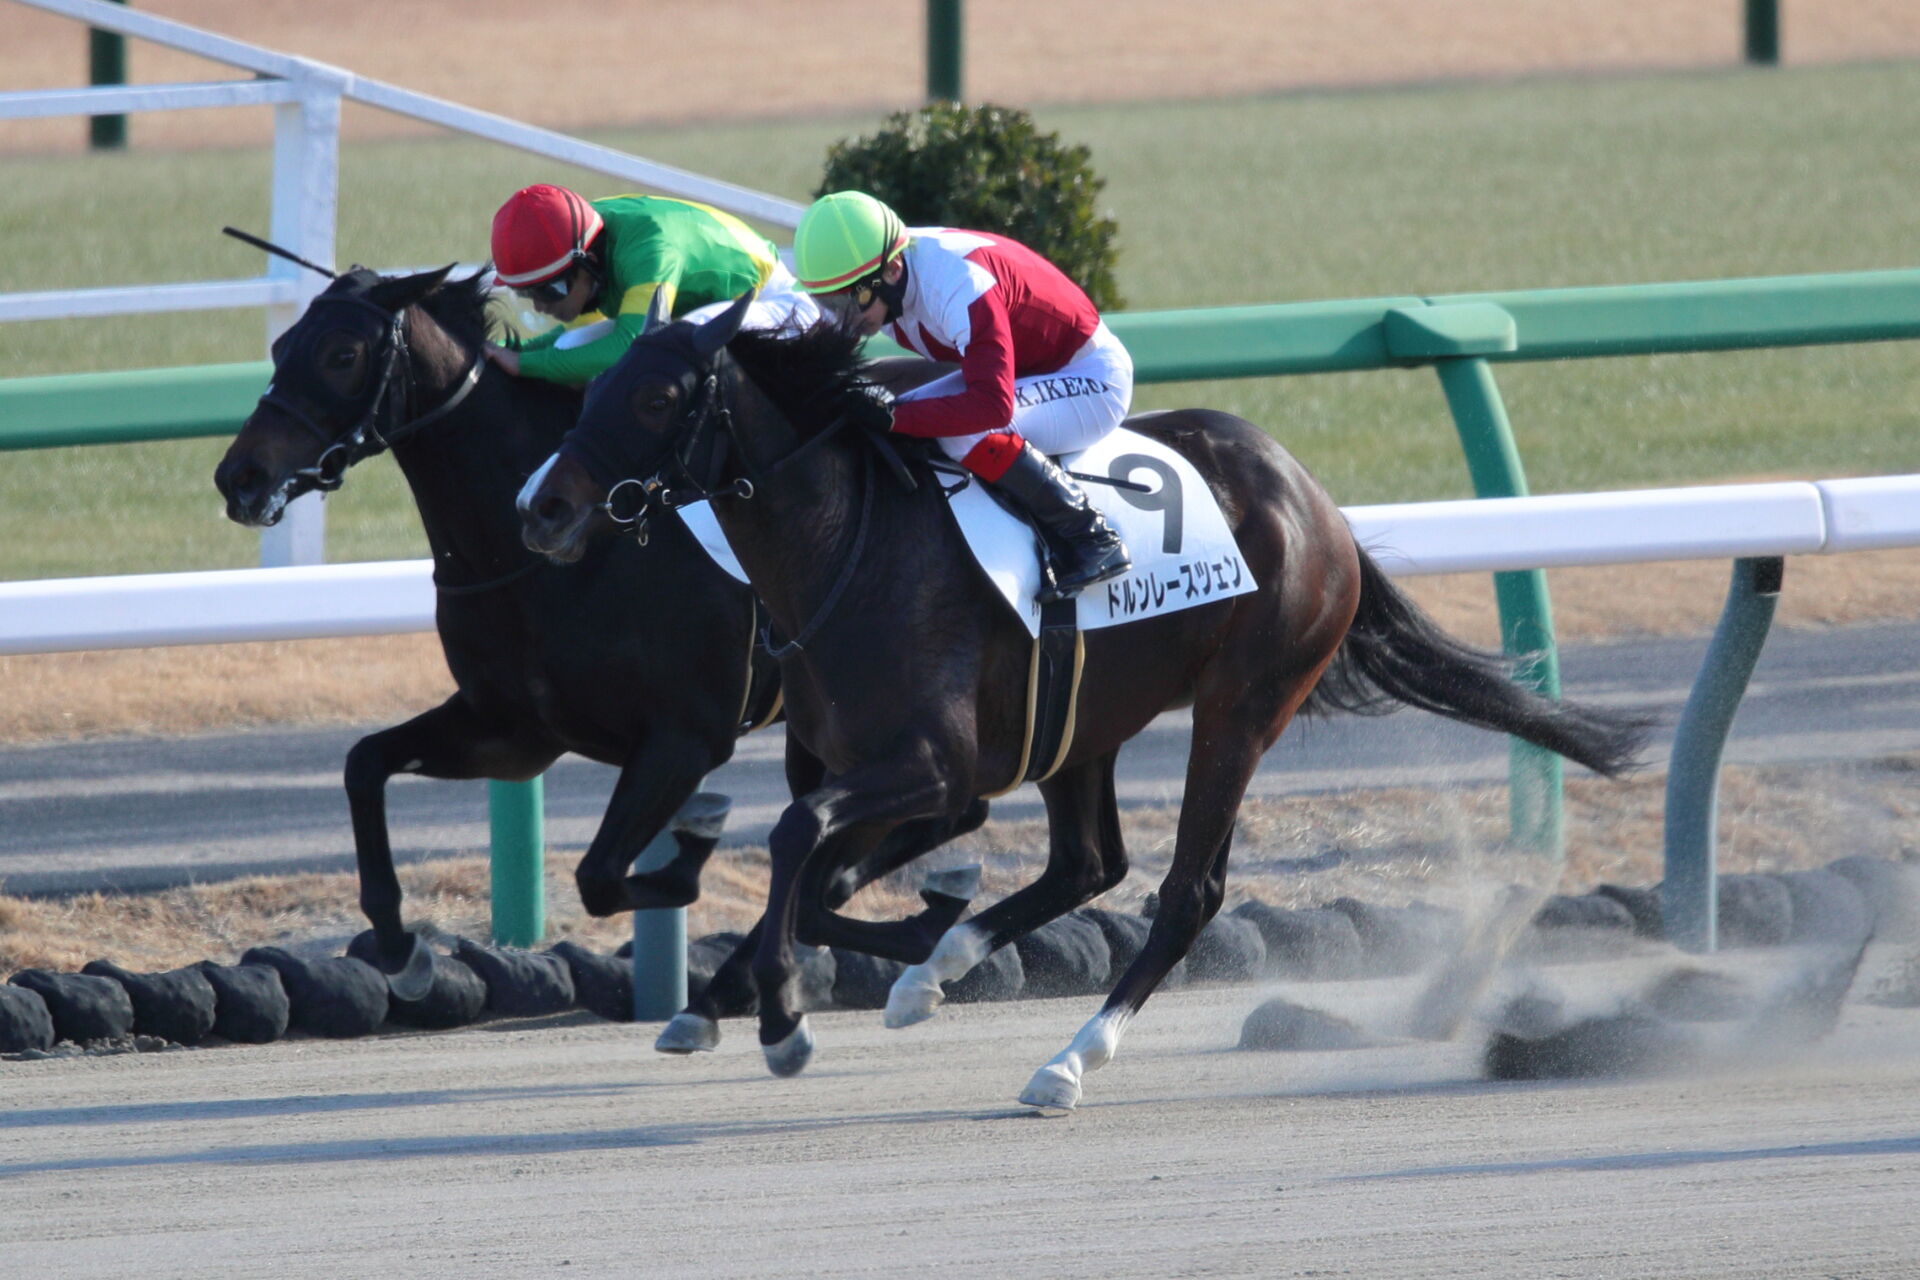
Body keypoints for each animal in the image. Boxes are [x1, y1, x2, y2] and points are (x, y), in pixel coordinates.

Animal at [214, 265, 982, 1004]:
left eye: (342, 354)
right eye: (281, 347)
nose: (238, 476)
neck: (541, 561)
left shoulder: (683, 737)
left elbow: (604, 876)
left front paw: (697, 859)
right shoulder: (512, 730)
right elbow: (364, 763)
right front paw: (401, 946)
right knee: (950, 814)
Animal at [516, 292, 1648, 1107]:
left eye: (658, 398)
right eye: (592, 387)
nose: (544, 508)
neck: (846, 544)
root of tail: (1317, 501)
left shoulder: (933, 765)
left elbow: (801, 844)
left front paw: (787, 1021)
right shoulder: (866, 765)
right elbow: (819, 873)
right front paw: (812, 979)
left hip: (1241, 709)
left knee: (1187, 891)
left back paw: (1067, 1059)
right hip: (1083, 721)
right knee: (1088, 861)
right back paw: (944, 970)